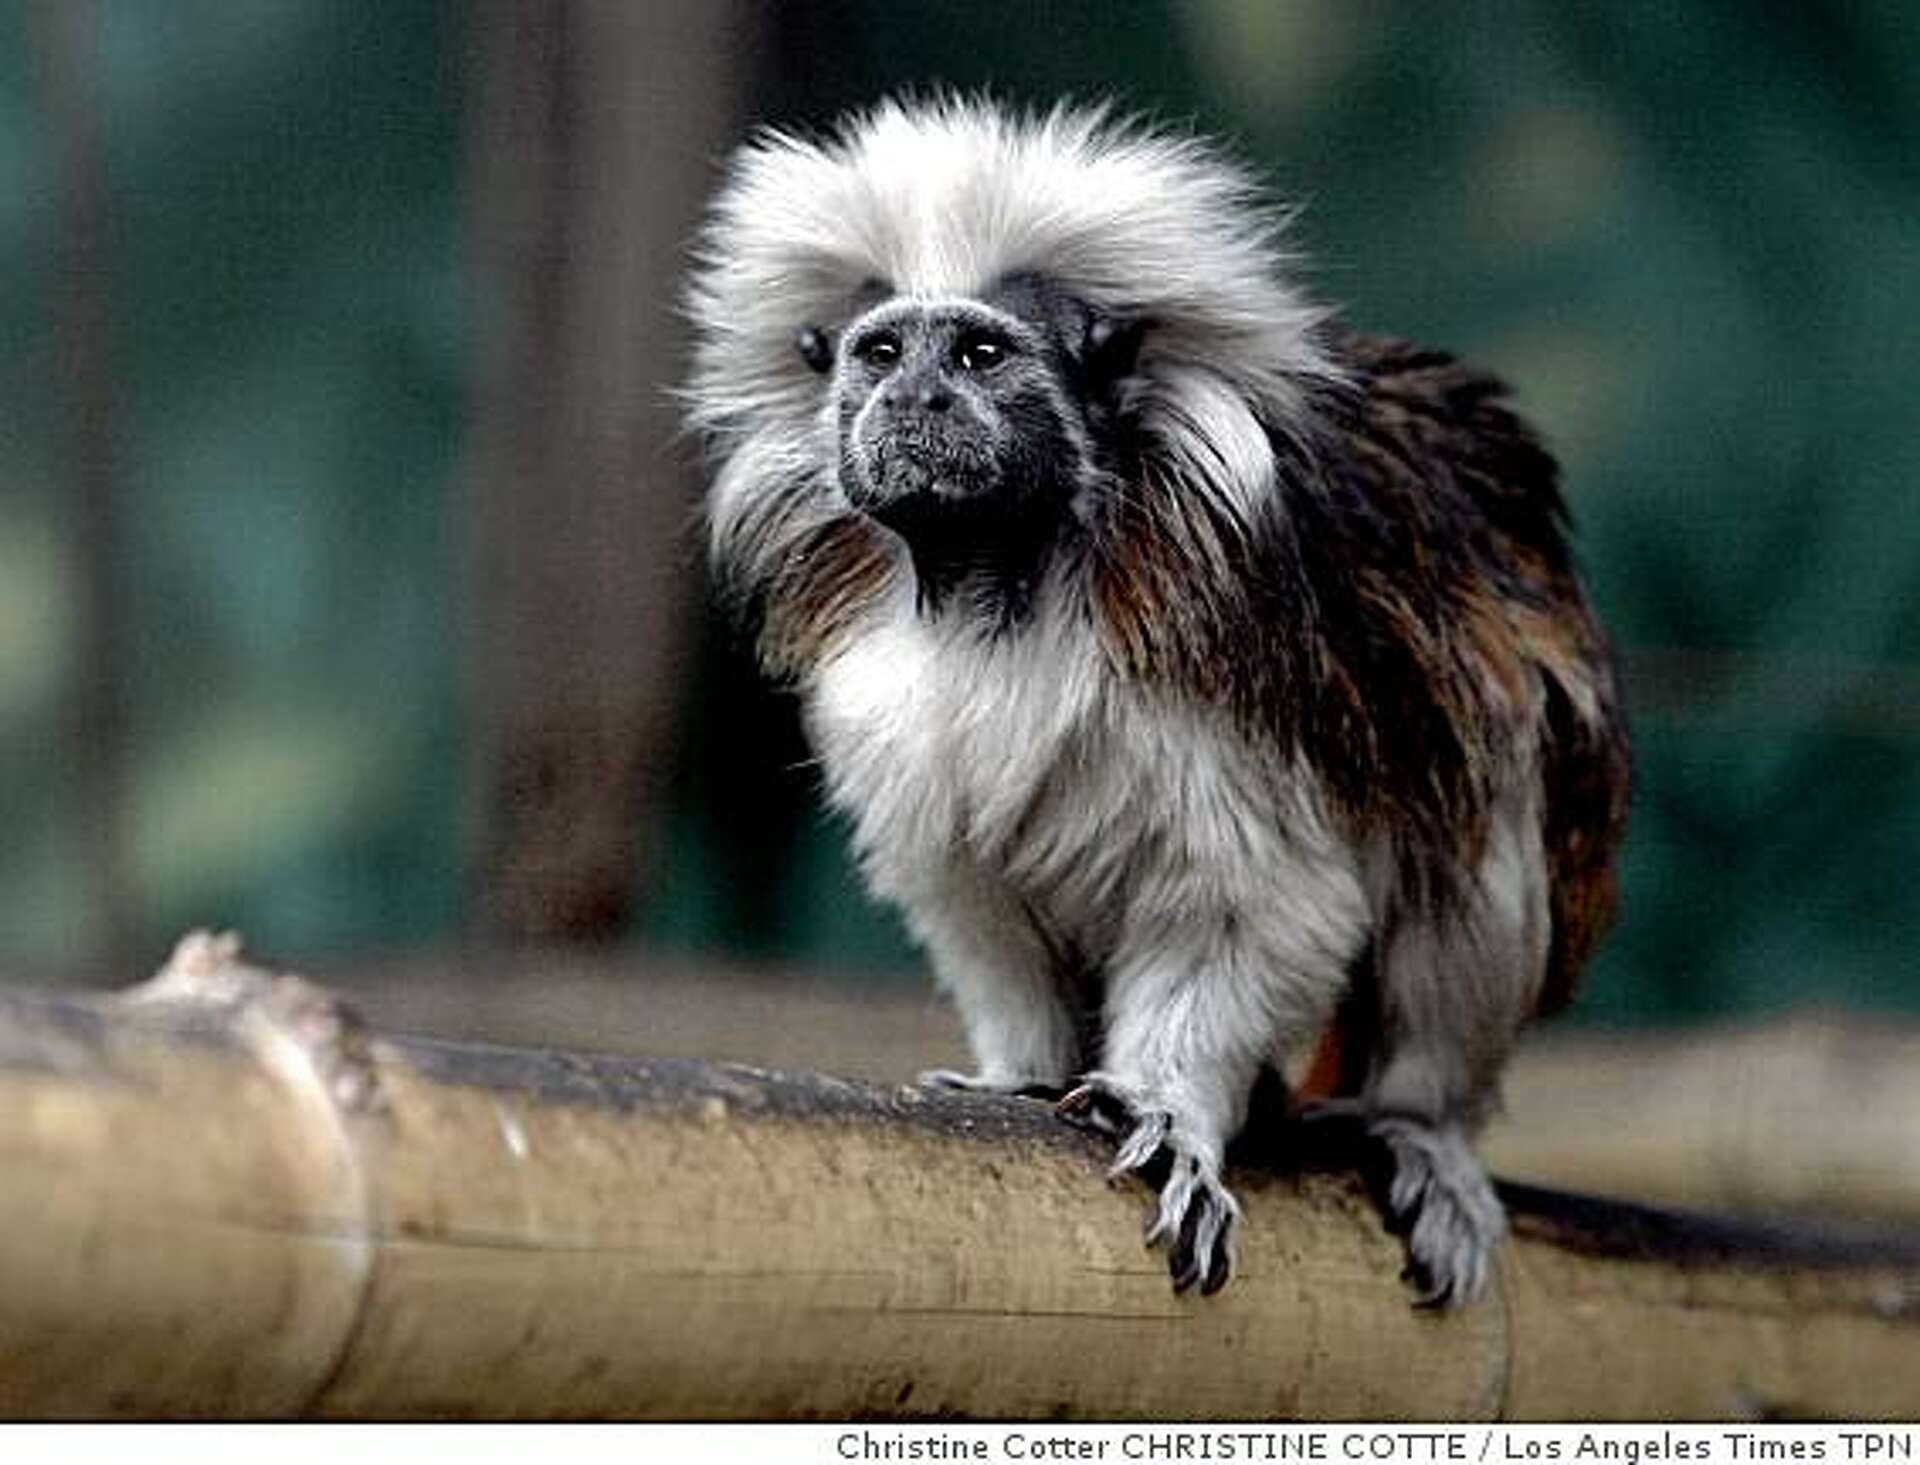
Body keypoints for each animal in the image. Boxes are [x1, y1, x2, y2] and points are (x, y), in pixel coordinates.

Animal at [681, 97, 1629, 1303]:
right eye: (881, 351)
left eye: (980, 354)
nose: (914, 398)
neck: (1002, 580)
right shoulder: (895, 717)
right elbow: (976, 891)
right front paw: (1022, 1071)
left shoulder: (1228, 671)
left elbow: (1249, 905)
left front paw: (1172, 1110)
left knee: (1492, 788)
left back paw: (1421, 1121)